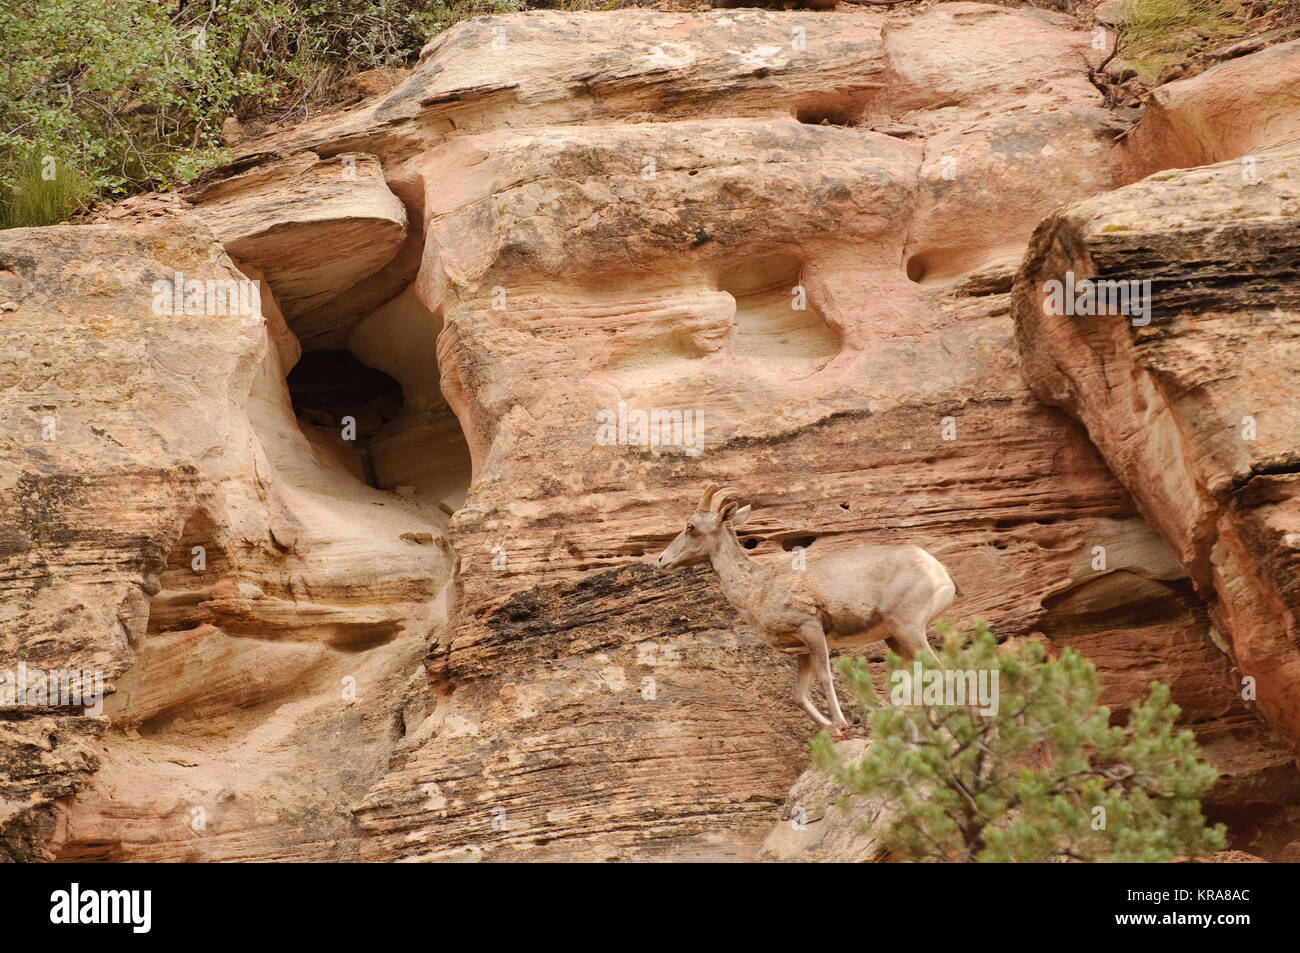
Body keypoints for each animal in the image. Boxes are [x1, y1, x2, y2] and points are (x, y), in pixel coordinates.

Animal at [655, 483, 958, 736]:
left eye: (691, 526)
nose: (661, 560)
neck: (757, 587)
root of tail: (940, 572)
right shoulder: (801, 651)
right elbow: (799, 695)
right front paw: (833, 731)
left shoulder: (811, 629)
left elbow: (825, 676)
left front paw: (840, 724)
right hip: (895, 639)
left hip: (908, 629)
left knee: (940, 671)